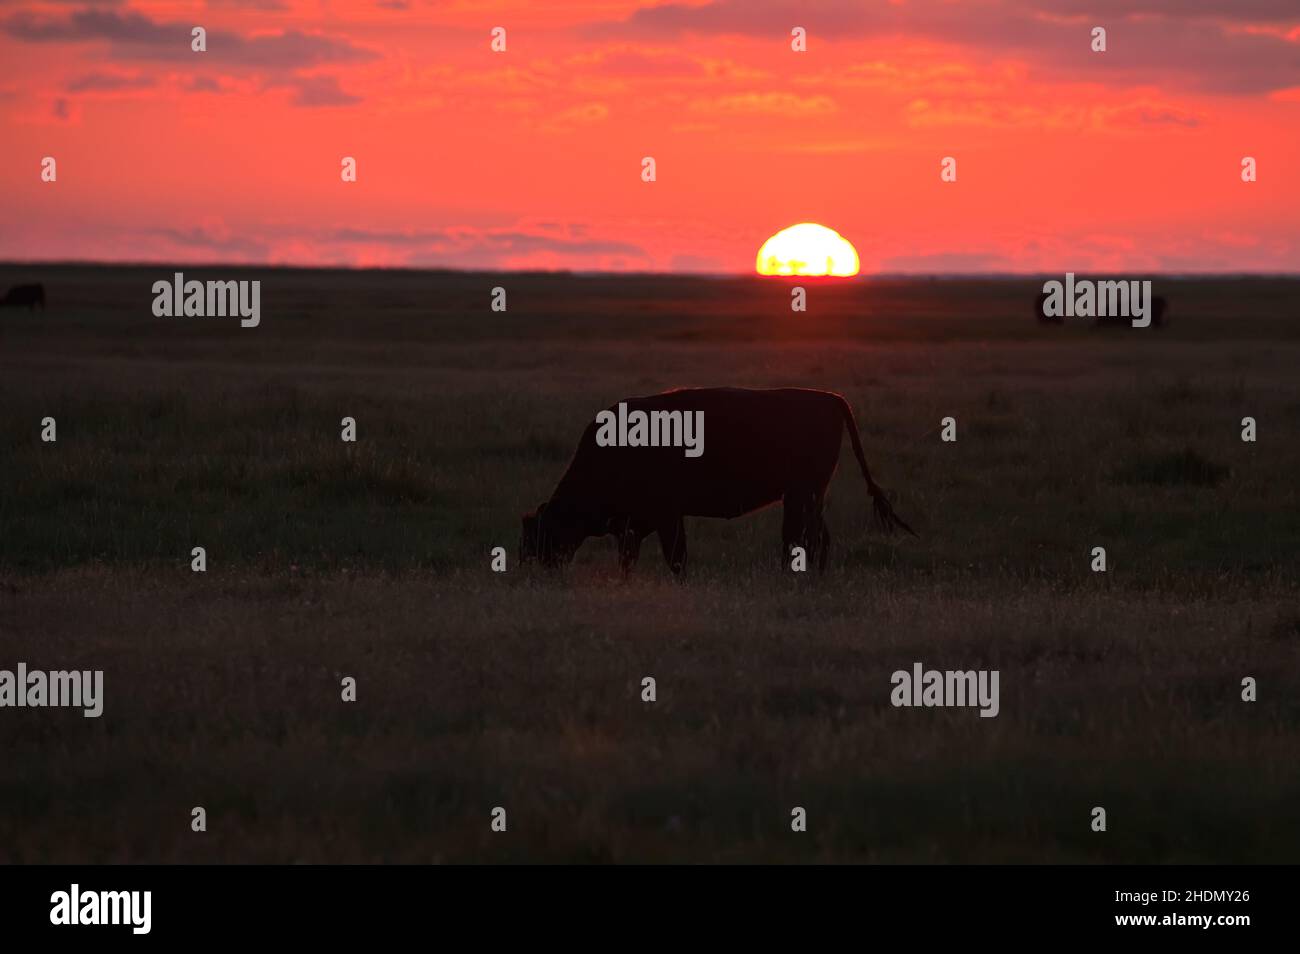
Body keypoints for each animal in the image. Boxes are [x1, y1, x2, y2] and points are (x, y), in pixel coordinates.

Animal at [520, 387, 915, 576]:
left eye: (541, 533)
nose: (530, 566)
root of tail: (831, 398)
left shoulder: (667, 517)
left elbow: (676, 558)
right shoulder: (636, 525)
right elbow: (628, 559)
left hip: (803, 495)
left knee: (804, 539)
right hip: (806, 497)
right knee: (812, 538)